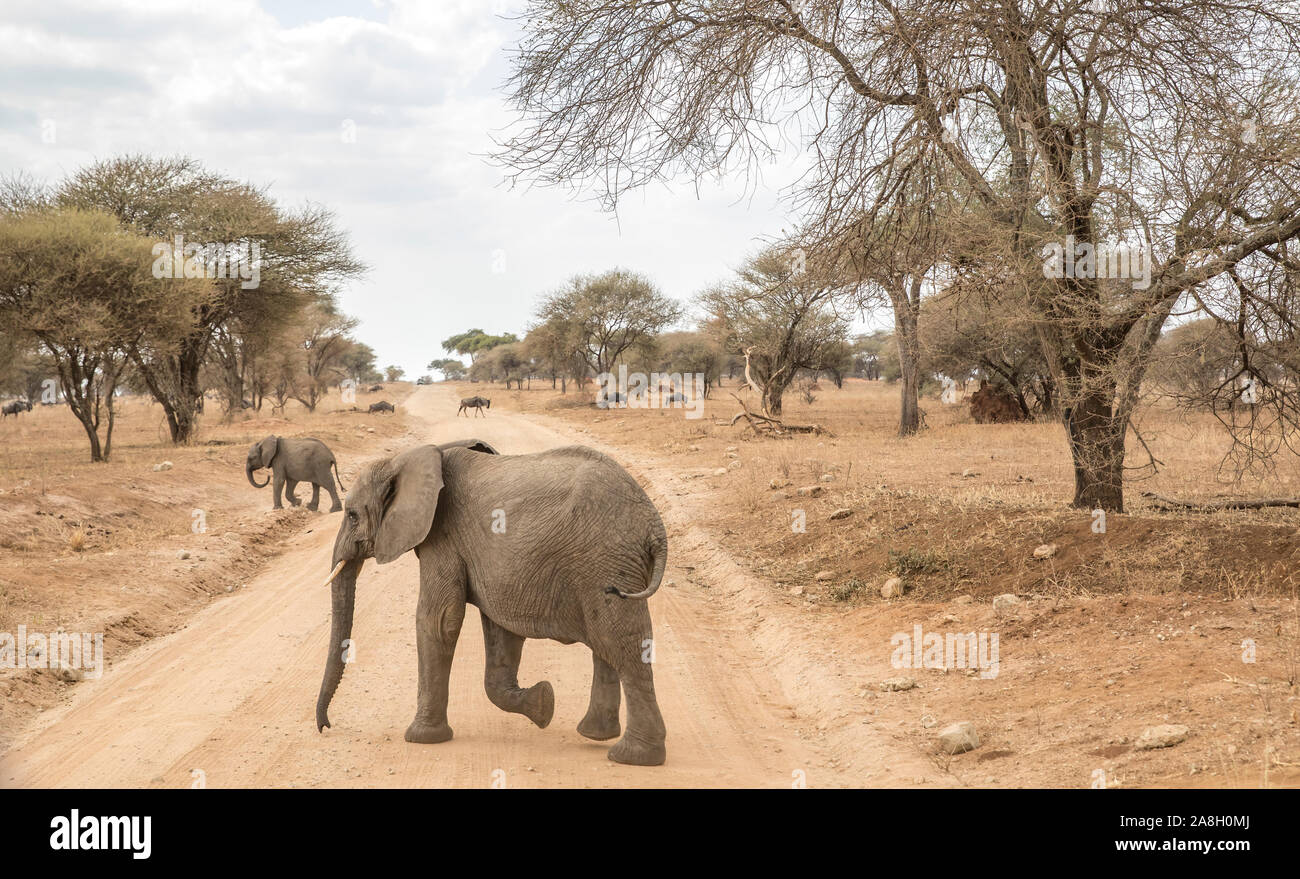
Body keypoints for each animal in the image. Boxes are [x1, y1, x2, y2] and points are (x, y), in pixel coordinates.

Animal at [315, 438, 669, 766]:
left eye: (352, 515)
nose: (325, 727)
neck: (408, 458)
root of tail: (655, 526)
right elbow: (500, 631)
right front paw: (544, 703)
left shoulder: (442, 535)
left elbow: (439, 620)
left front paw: (421, 738)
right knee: (606, 644)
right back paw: (595, 735)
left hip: (606, 562)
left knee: (621, 642)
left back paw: (633, 757)